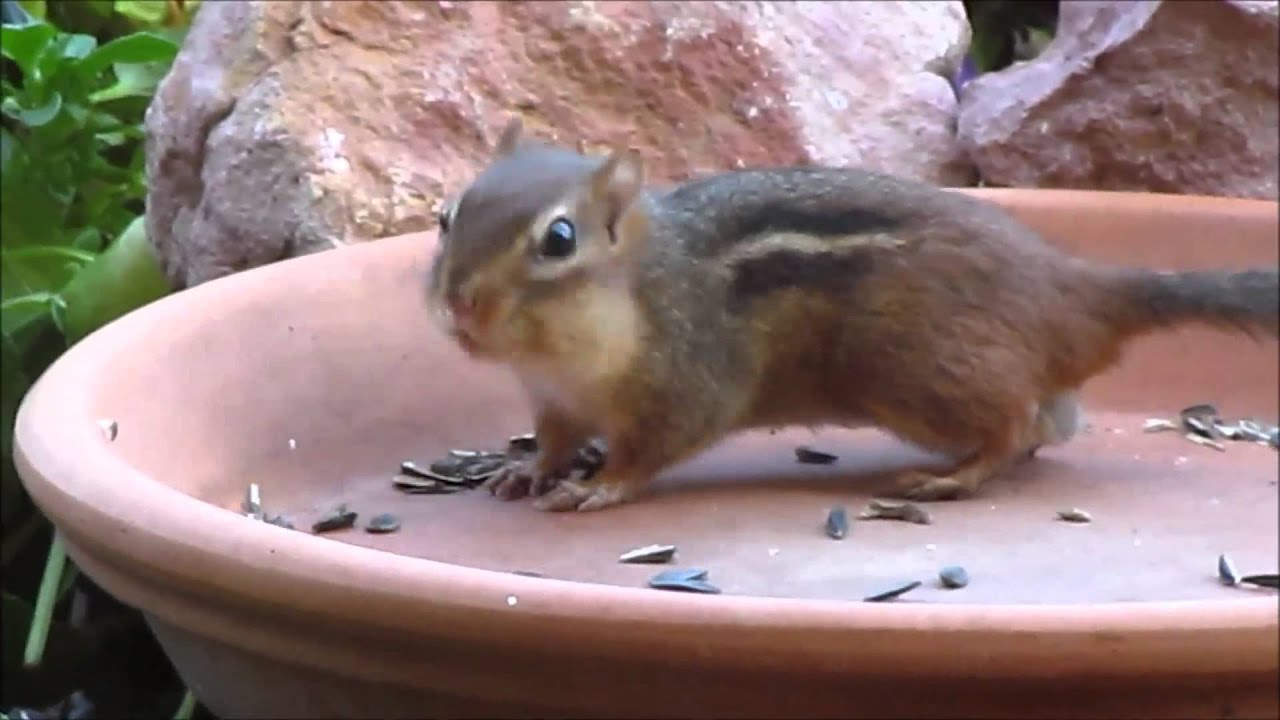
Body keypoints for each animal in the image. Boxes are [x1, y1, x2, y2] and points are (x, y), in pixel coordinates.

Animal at [425, 118, 1280, 513]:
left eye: (558, 239)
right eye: (446, 216)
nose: (459, 303)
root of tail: (1066, 285)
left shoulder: (685, 381)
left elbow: (652, 447)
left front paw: (600, 487)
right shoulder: (556, 402)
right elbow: (555, 441)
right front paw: (528, 470)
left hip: (913, 373)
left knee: (1011, 425)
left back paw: (954, 477)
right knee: (1048, 424)